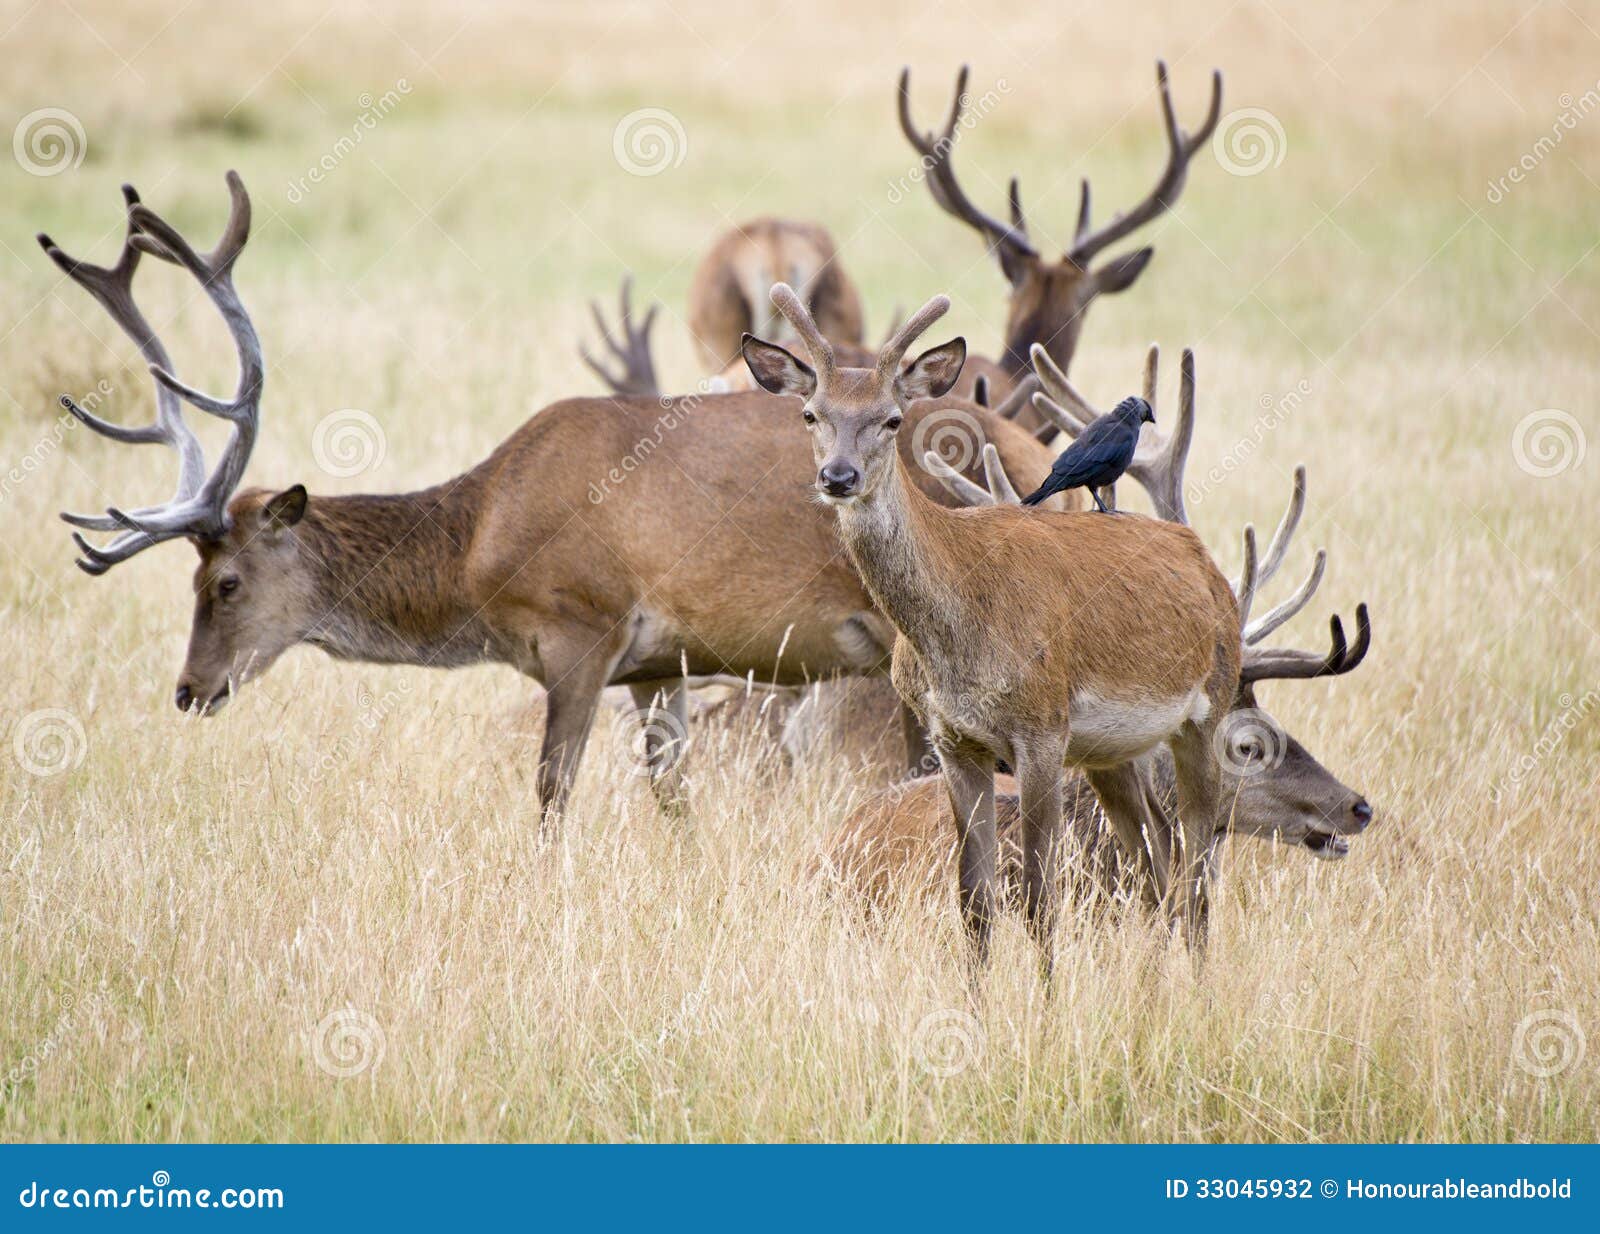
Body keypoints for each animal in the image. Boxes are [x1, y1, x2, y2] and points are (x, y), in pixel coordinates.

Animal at [42, 173, 1068, 828]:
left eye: (224, 584)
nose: (189, 689)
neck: (479, 548)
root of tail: (1027, 449)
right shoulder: (660, 661)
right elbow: (670, 795)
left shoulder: (583, 627)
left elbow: (551, 796)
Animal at [741, 286, 1242, 967]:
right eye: (810, 415)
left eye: (893, 419)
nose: (838, 477)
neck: (958, 641)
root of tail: (1205, 559)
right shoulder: (954, 740)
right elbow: (974, 904)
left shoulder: (1042, 730)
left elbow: (1038, 899)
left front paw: (1047, 996)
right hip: (1115, 750)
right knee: (1158, 863)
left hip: (1207, 710)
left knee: (1197, 867)